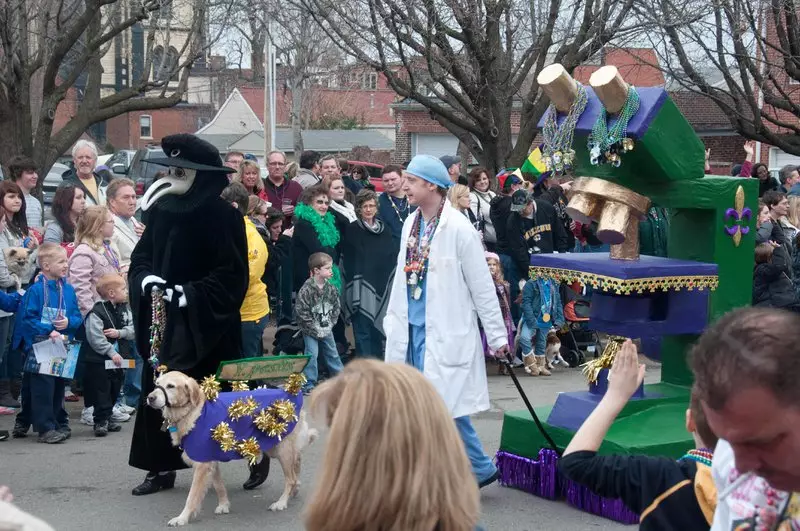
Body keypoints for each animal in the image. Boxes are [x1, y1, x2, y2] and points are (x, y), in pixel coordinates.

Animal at [148, 372, 318, 524]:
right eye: (157, 384)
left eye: (170, 386)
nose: (150, 397)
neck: (193, 413)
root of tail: (291, 391)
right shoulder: (211, 460)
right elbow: (219, 486)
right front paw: (224, 505)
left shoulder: (202, 463)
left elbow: (192, 496)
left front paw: (182, 518)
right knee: (297, 467)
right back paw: (294, 491)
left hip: (282, 450)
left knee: (291, 479)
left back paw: (282, 502)